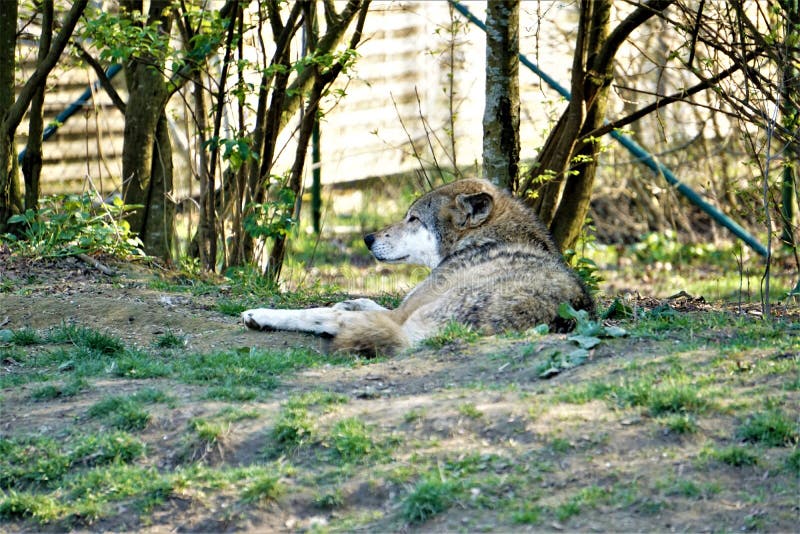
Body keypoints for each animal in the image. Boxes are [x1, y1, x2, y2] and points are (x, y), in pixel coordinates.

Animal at [242, 178, 595, 355]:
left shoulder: (401, 312)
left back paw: (261, 316)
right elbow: (369, 301)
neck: (483, 240)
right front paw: (351, 300)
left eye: (413, 219)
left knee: (326, 319)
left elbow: (335, 311)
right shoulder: (401, 307)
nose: (367, 238)